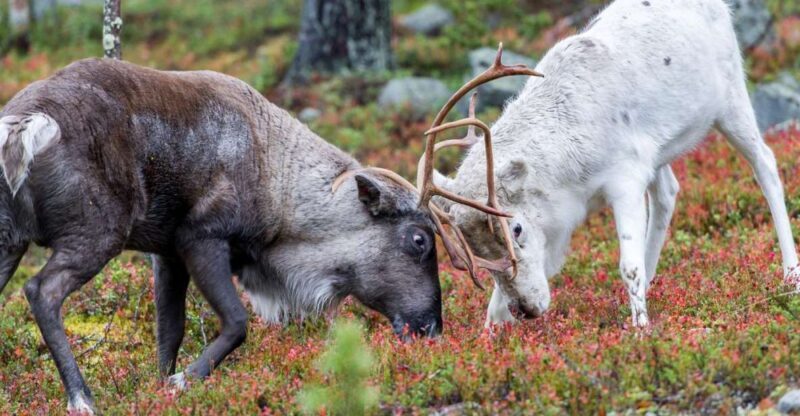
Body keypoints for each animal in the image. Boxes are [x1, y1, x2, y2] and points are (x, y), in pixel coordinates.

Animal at [416, 0, 800, 329]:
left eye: (517, 229)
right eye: (472, 247)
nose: (527, 310)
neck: (568, 167)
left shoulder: (624, 180)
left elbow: (628, 265)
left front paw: (641, 330)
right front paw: (490, 331)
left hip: (732, 101)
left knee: (765, 165)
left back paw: (790, 275)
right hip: (660, 152)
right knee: (668, 193)